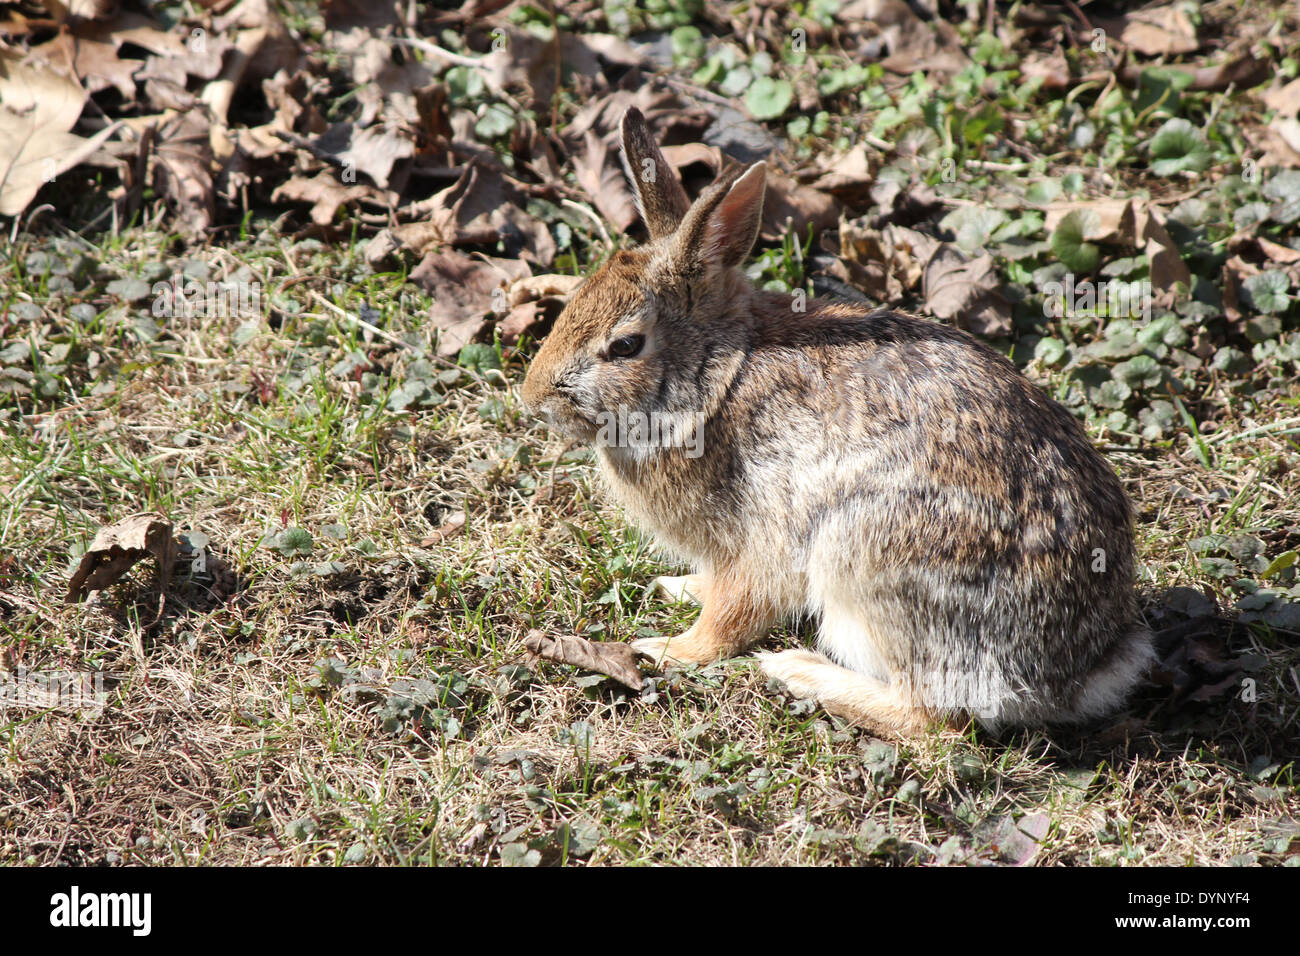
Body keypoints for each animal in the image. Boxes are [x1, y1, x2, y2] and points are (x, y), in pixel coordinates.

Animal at [520, 107, 1154, 736]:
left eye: (625, 346)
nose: (532, 399)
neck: (716, 376)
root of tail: (1076, 674)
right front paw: (679, 587)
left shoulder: (764, 533)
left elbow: (733, 613)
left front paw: (667, 649)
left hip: (868, 563)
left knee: (930, 719)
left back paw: (798, 670)